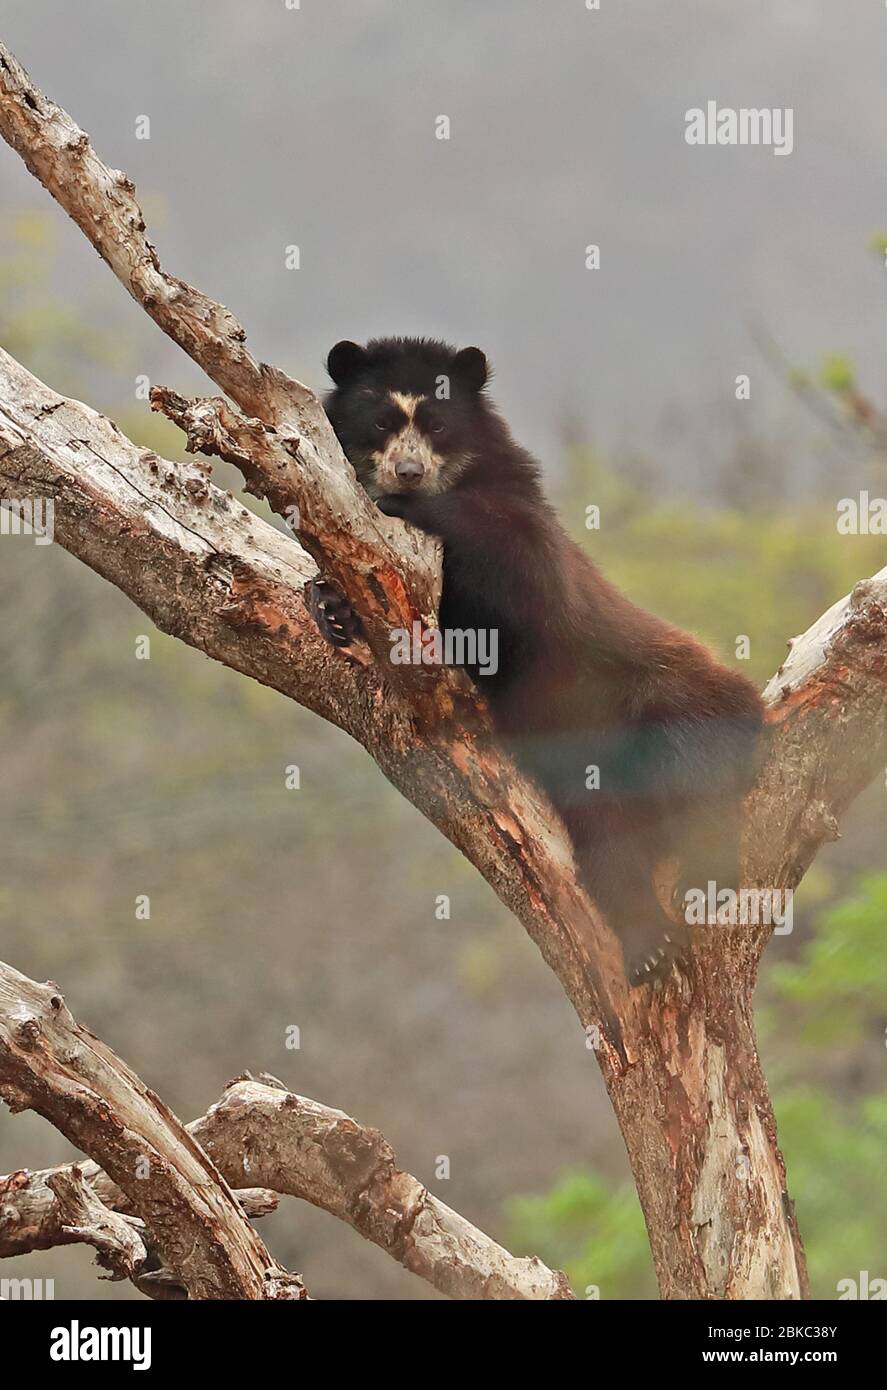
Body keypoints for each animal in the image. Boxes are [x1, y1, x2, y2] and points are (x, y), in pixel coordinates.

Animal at [309, 336, 765, 985]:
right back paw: (649, 947)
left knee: (700, 776)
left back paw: (706, 879)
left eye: (438, 424)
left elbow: (521, 565)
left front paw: (402, 507)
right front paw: (331, 607)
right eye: (380, 422)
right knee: (607, 843)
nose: (408, 473)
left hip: (671, 690)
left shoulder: (523, 528)